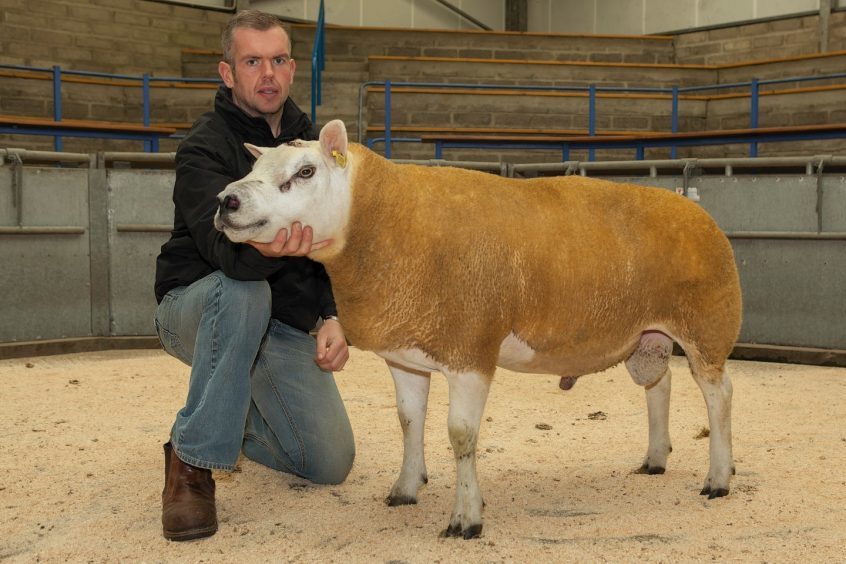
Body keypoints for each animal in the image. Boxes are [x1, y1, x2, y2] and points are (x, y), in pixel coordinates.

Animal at [214, 119, 742, 539]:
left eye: (305, 172)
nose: (226, 201)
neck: (388, 219)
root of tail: (694, 209)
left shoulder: (469, 350)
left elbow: (461, 437)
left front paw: (466, 518)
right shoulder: (406, 355)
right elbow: (409, 422)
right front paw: (406, 488)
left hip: (707, 326)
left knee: (719, 396)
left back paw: (718, 479)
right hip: (648, 335)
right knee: (660, 384)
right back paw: (656, 458)